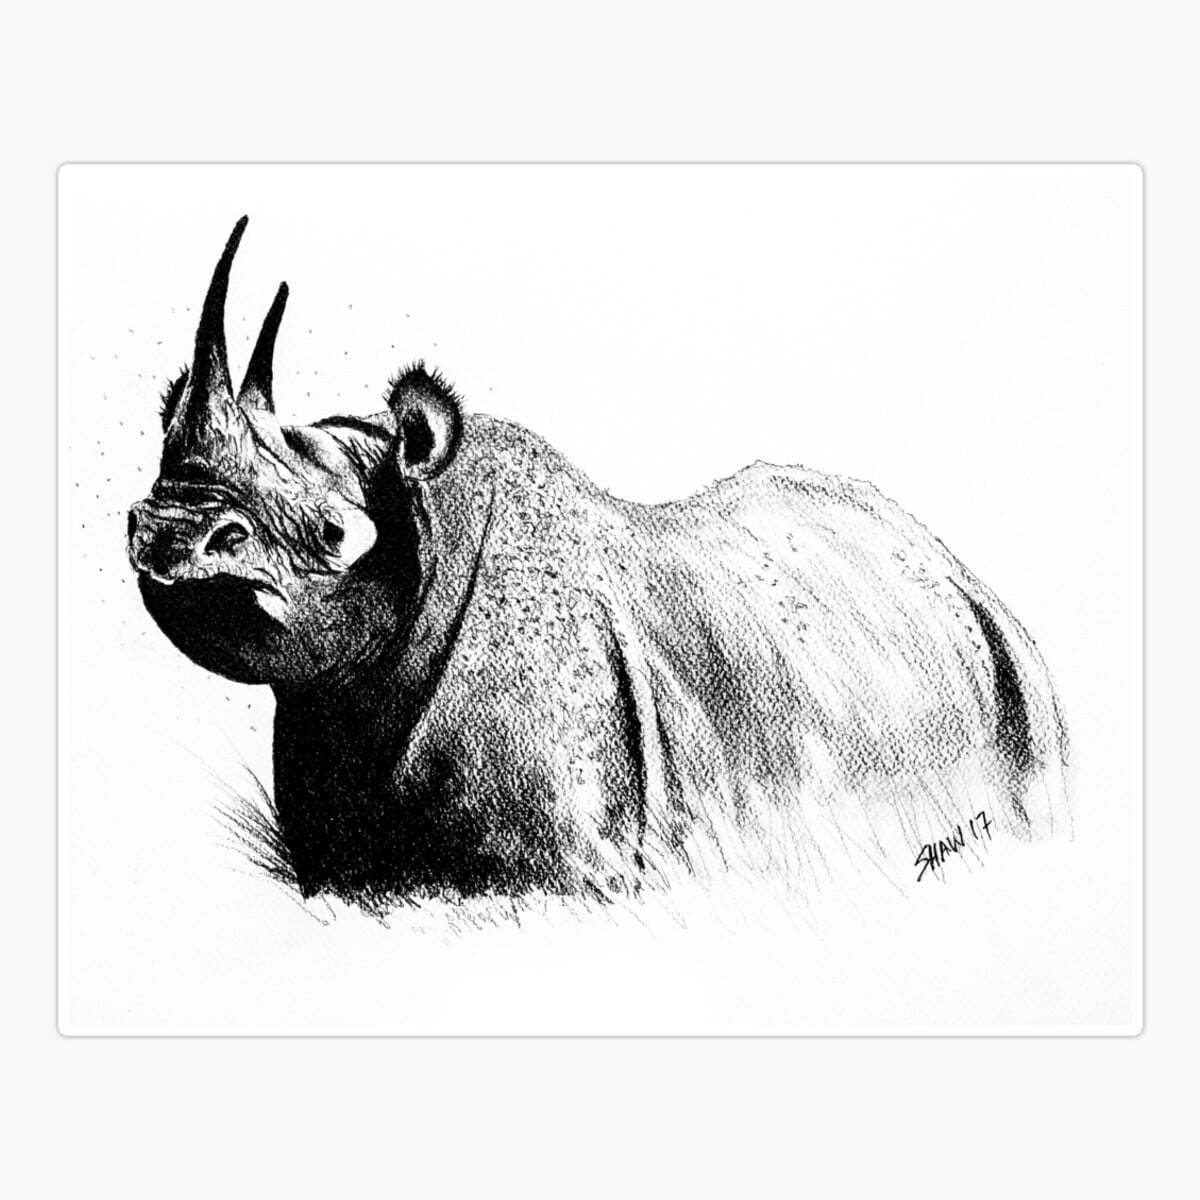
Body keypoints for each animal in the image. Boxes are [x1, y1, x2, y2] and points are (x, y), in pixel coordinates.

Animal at [127, 217, 1069, 908]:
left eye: (332, 534)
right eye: (145, 511)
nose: (160, 534)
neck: (428, 525)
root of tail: (955, 569)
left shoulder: (579, 871)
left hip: (1013, 681)